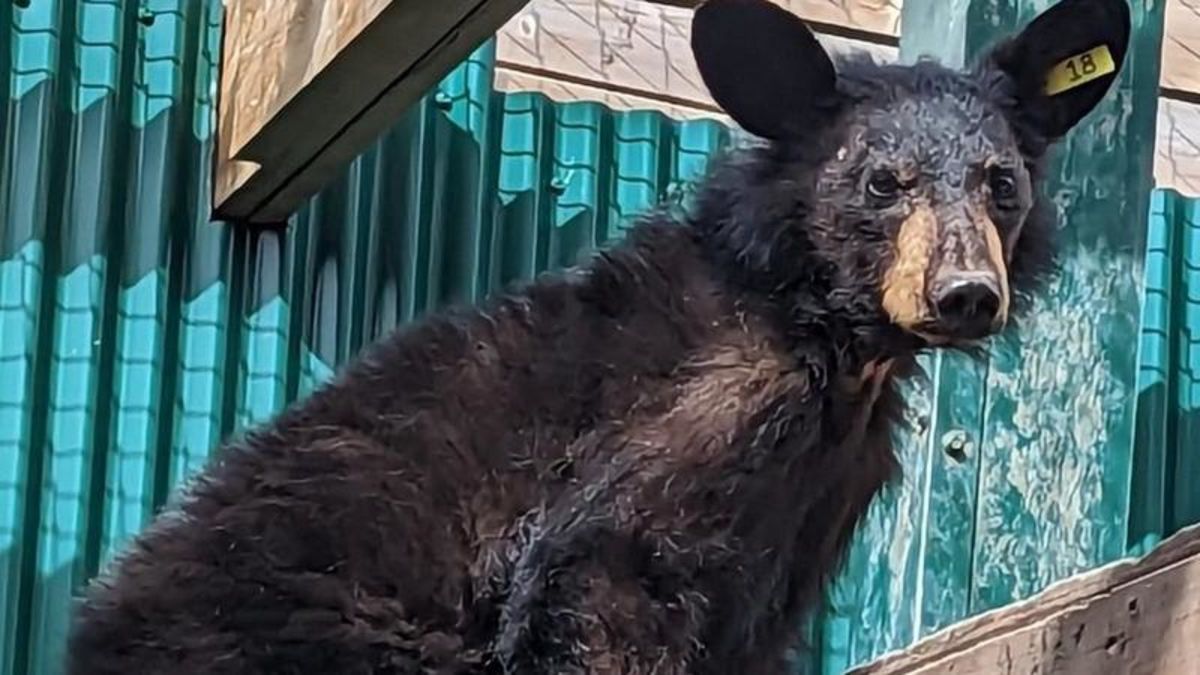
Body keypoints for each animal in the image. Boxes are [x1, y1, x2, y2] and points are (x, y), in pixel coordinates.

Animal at [66, 0, 1131, 673]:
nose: (967, 294)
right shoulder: (692, 434)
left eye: (1001, 182)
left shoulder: (813, 512)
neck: (826, 341)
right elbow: (604, 576)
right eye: (881, 181)